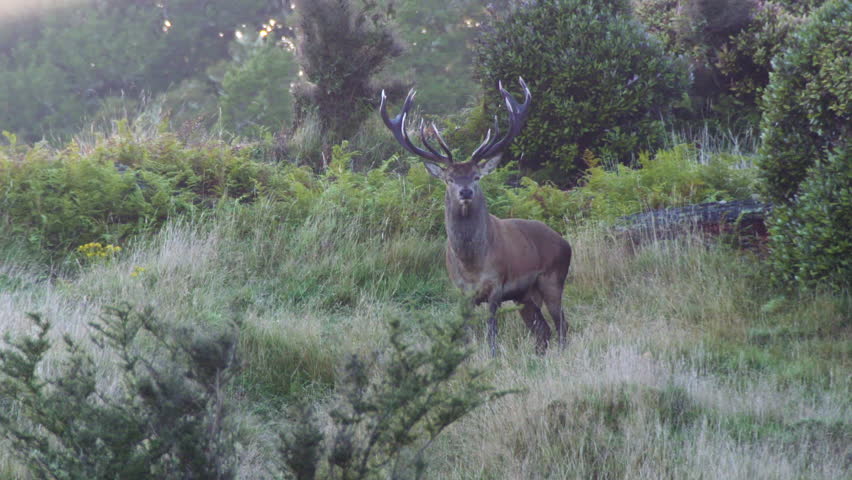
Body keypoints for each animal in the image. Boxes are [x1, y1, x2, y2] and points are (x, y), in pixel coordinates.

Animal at [379, 78, 572, 356]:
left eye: (476, 176)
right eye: (449, 178)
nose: (466, 191)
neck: (472, 265)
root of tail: (564, 242)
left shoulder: (496, 284)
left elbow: (491, 329)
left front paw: (492, 356)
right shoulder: (462, 291)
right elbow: (467, 329)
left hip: (553, 279)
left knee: (561, 324)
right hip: (525, 294)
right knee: (542, 330)